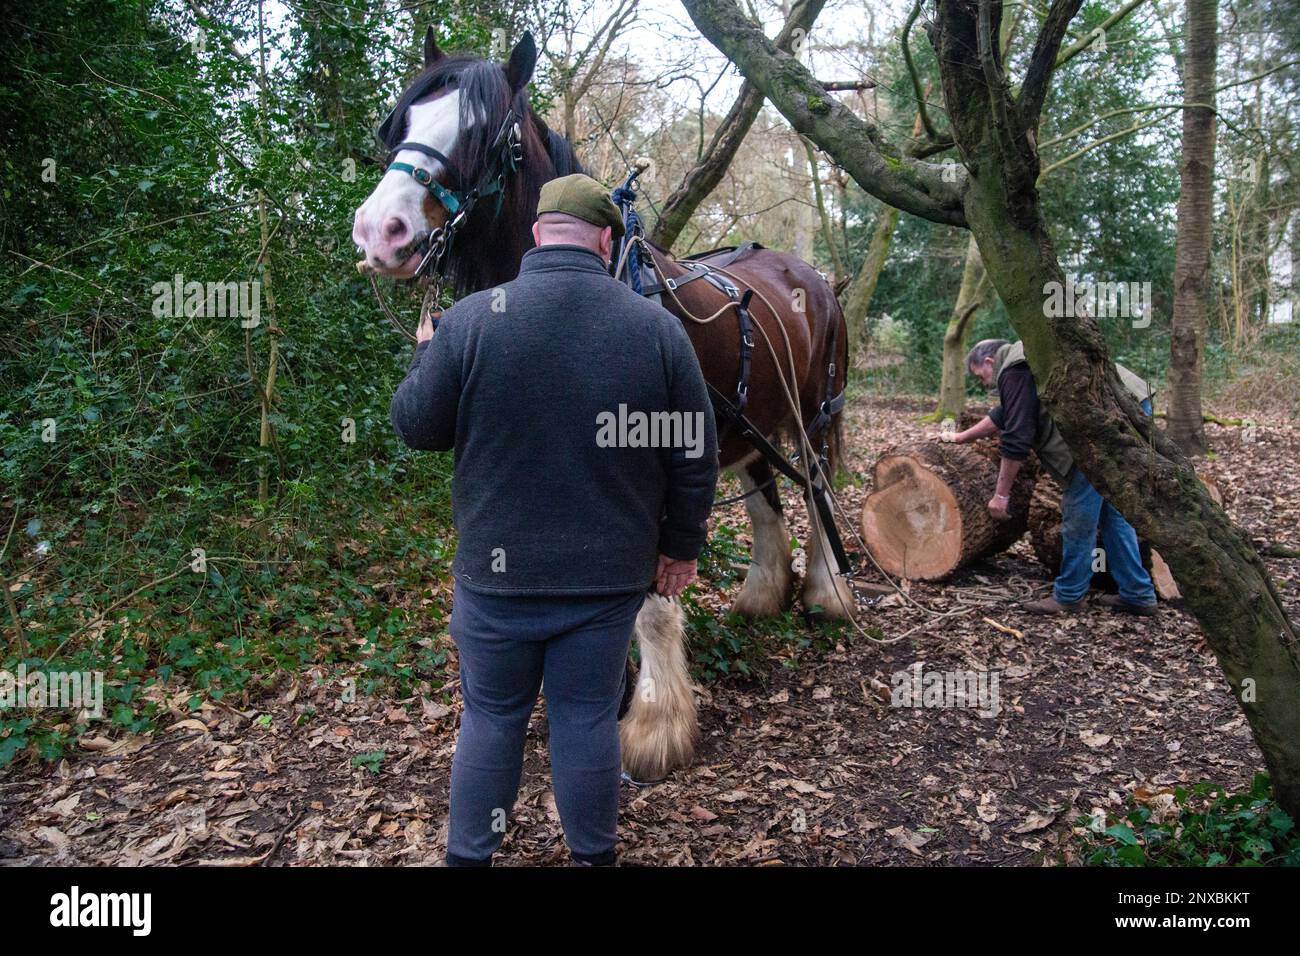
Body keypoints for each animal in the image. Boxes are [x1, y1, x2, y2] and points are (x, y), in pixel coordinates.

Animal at [353, 28, 853, 782]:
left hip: (813, 413)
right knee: (767, 498)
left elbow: (650, 603)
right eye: (402, 121)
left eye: (482, 132)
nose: (378, 230)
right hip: (745, 422)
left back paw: (828, 594)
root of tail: (810, 276)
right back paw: (763, 595)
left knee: (817, 491)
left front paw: (652, 724)